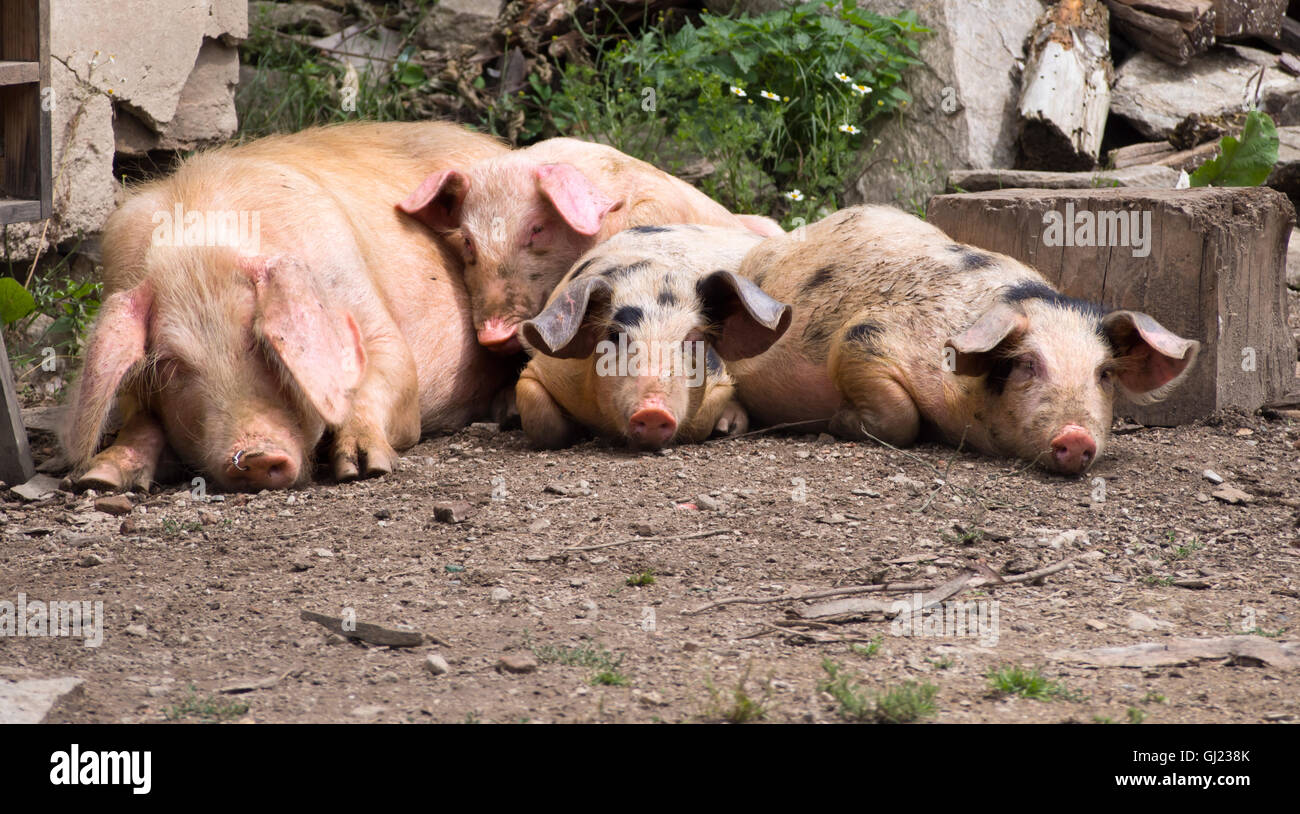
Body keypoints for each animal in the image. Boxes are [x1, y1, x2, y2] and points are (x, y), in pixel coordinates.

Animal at [61, 121, 512, 492]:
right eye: (173, 365)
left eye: (260, 342)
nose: (255, 456)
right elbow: (140, 420)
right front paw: (100, 478)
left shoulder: (368, 308)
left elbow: (388, 372)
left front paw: (363, 467)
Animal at [515, 225, 791, 449]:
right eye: (615, 335)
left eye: (694, 338)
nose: (653, 411)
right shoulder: (545, 369)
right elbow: (536, 408)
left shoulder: (718, 377)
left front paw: (723, 428)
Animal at [730, 206, 1200, 474]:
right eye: (1027, 364)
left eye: (1104, 374)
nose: (1076, 435)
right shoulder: (865, 338)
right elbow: (900, 416)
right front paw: (837, 423)